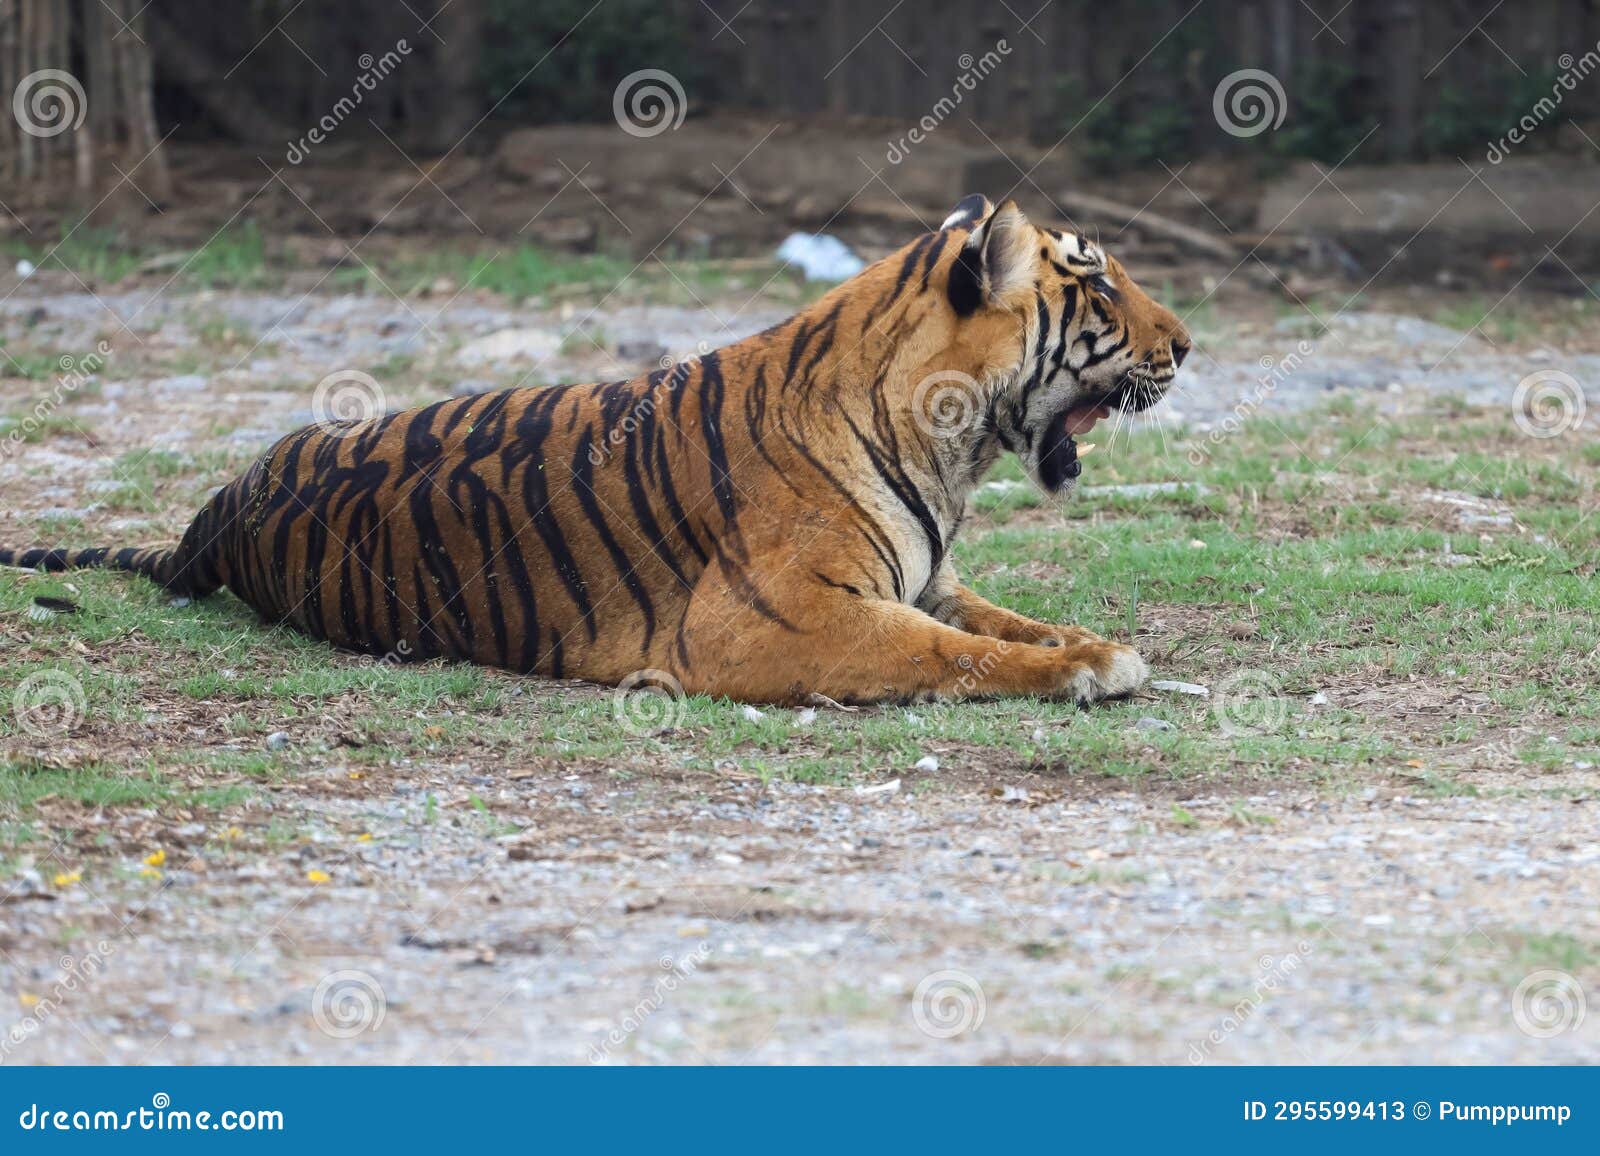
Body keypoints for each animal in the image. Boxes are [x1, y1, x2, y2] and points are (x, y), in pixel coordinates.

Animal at [1, 195, 1190, 706]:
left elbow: (1002, 620)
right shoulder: (771, 620)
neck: (951, 448)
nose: (1188, 342)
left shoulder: (928, 579)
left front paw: (1088, 640)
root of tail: (224, 503)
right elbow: (951, 654)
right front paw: (1090, 667)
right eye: (1099, 286)